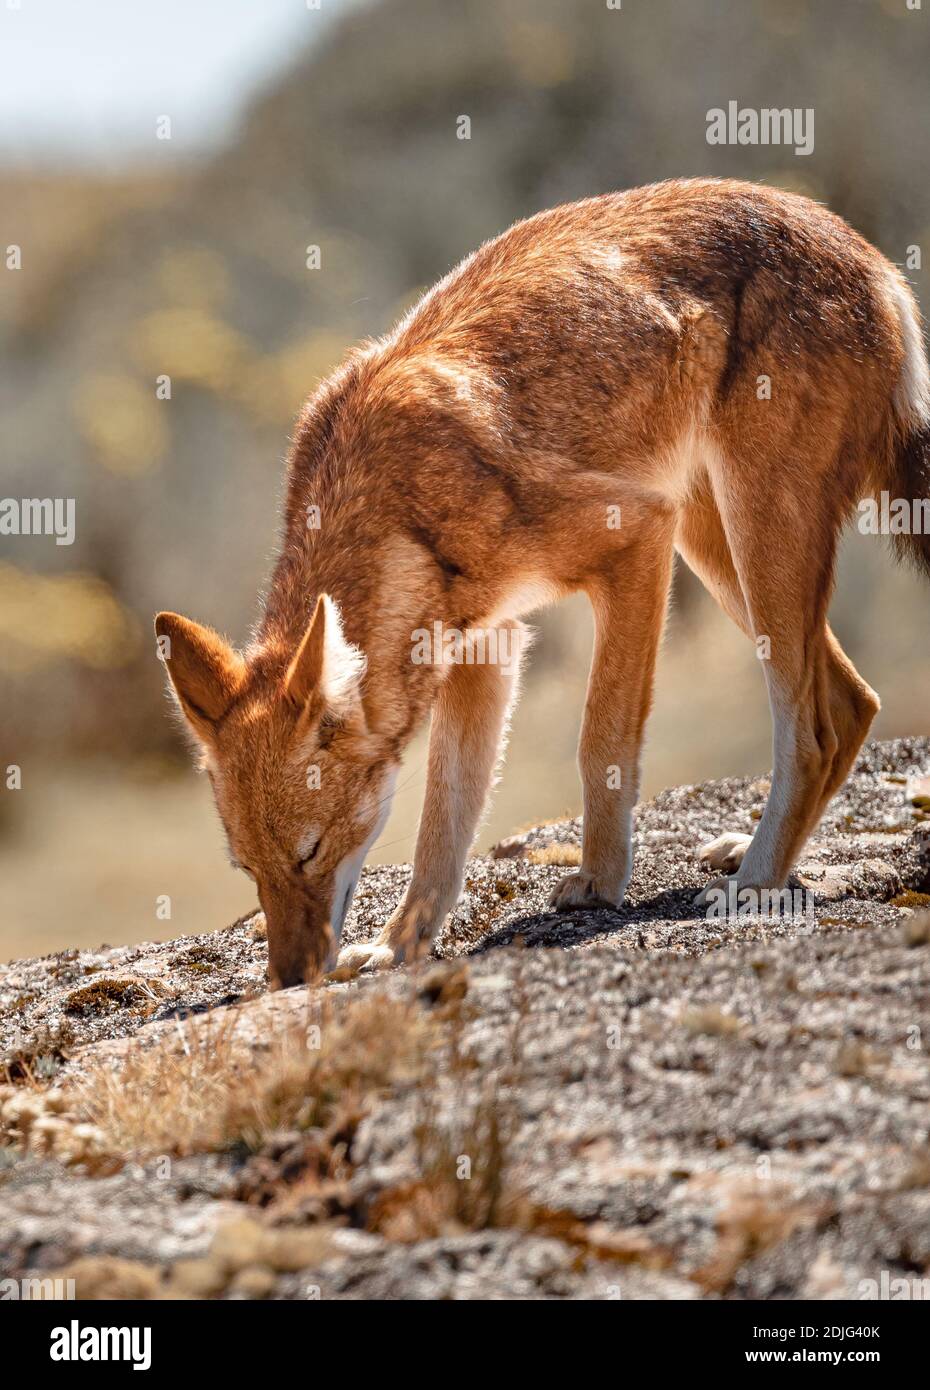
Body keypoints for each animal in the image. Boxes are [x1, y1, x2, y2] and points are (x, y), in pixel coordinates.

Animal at [156, 179, 930, 988]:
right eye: (249, 870)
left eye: (308, 853)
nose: (288, 980)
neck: (398, 513)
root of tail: (874, 260)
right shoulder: (486, 647)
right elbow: (443, 823)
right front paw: (401, 947)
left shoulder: (634, 542)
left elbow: (600, 741)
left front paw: (597, 883)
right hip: (717, 546)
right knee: (853, 702)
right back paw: (748, 852)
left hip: (747, 540)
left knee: (812, 728)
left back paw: (754, 881)